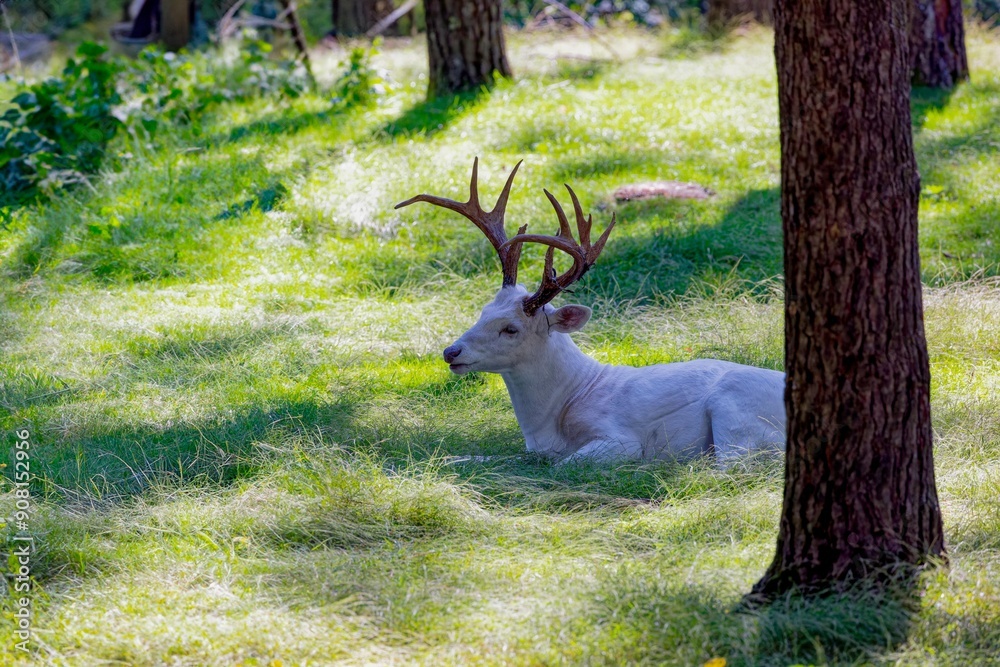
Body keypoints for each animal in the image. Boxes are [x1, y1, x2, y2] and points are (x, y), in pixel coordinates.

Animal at [395, 159, 786, 463]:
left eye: (511, 329)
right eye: (482, 312)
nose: (451, 352)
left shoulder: (620, 439)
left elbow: (562, 464)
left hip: (734, 411)